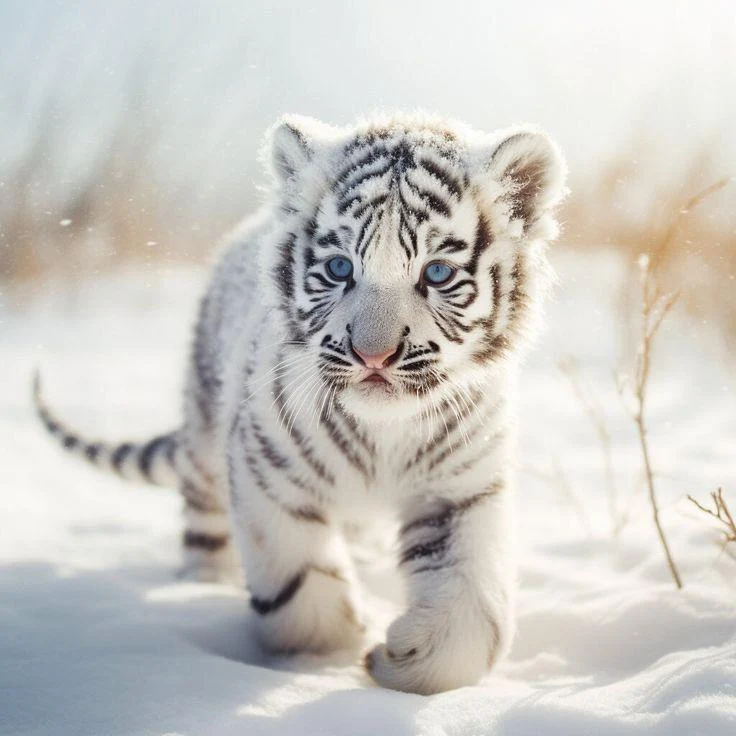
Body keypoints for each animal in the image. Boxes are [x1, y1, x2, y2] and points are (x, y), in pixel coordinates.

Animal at [34, 113, 567, 694]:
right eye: (339, 268)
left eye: (438, 273)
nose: (373, 355)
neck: (384, 434)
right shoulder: (265, 467)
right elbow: (302, 591)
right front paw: (334, 651)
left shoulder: (459, 488)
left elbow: (468, 616)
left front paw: (400, 659)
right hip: (204, 434)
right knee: (203, 522)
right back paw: (201, 584)